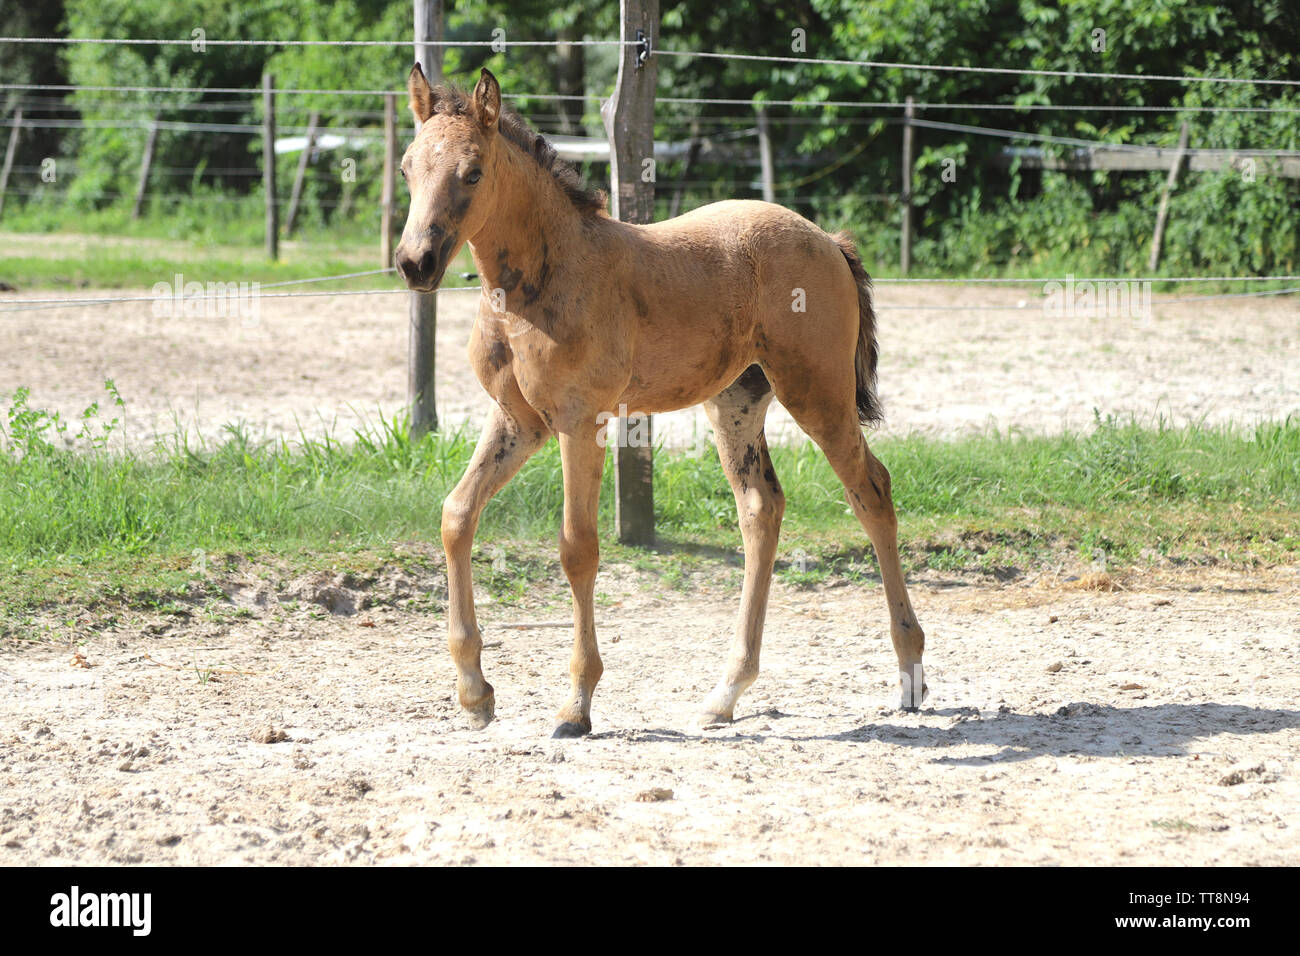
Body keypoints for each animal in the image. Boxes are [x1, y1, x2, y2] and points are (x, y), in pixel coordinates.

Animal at [395, 65, 928, 737]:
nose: (415, 262)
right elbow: (457, 514)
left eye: (472, 172)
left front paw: (576, 704)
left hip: (818, 394)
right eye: (407, 167)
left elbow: (577, 548)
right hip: (736, 402)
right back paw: (726, 692)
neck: (542, 277)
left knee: (871, 491)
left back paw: (910, 673)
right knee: (761, 509)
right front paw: (474, 692)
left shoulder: (580, 421)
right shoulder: (518, 420)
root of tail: (828, 240)